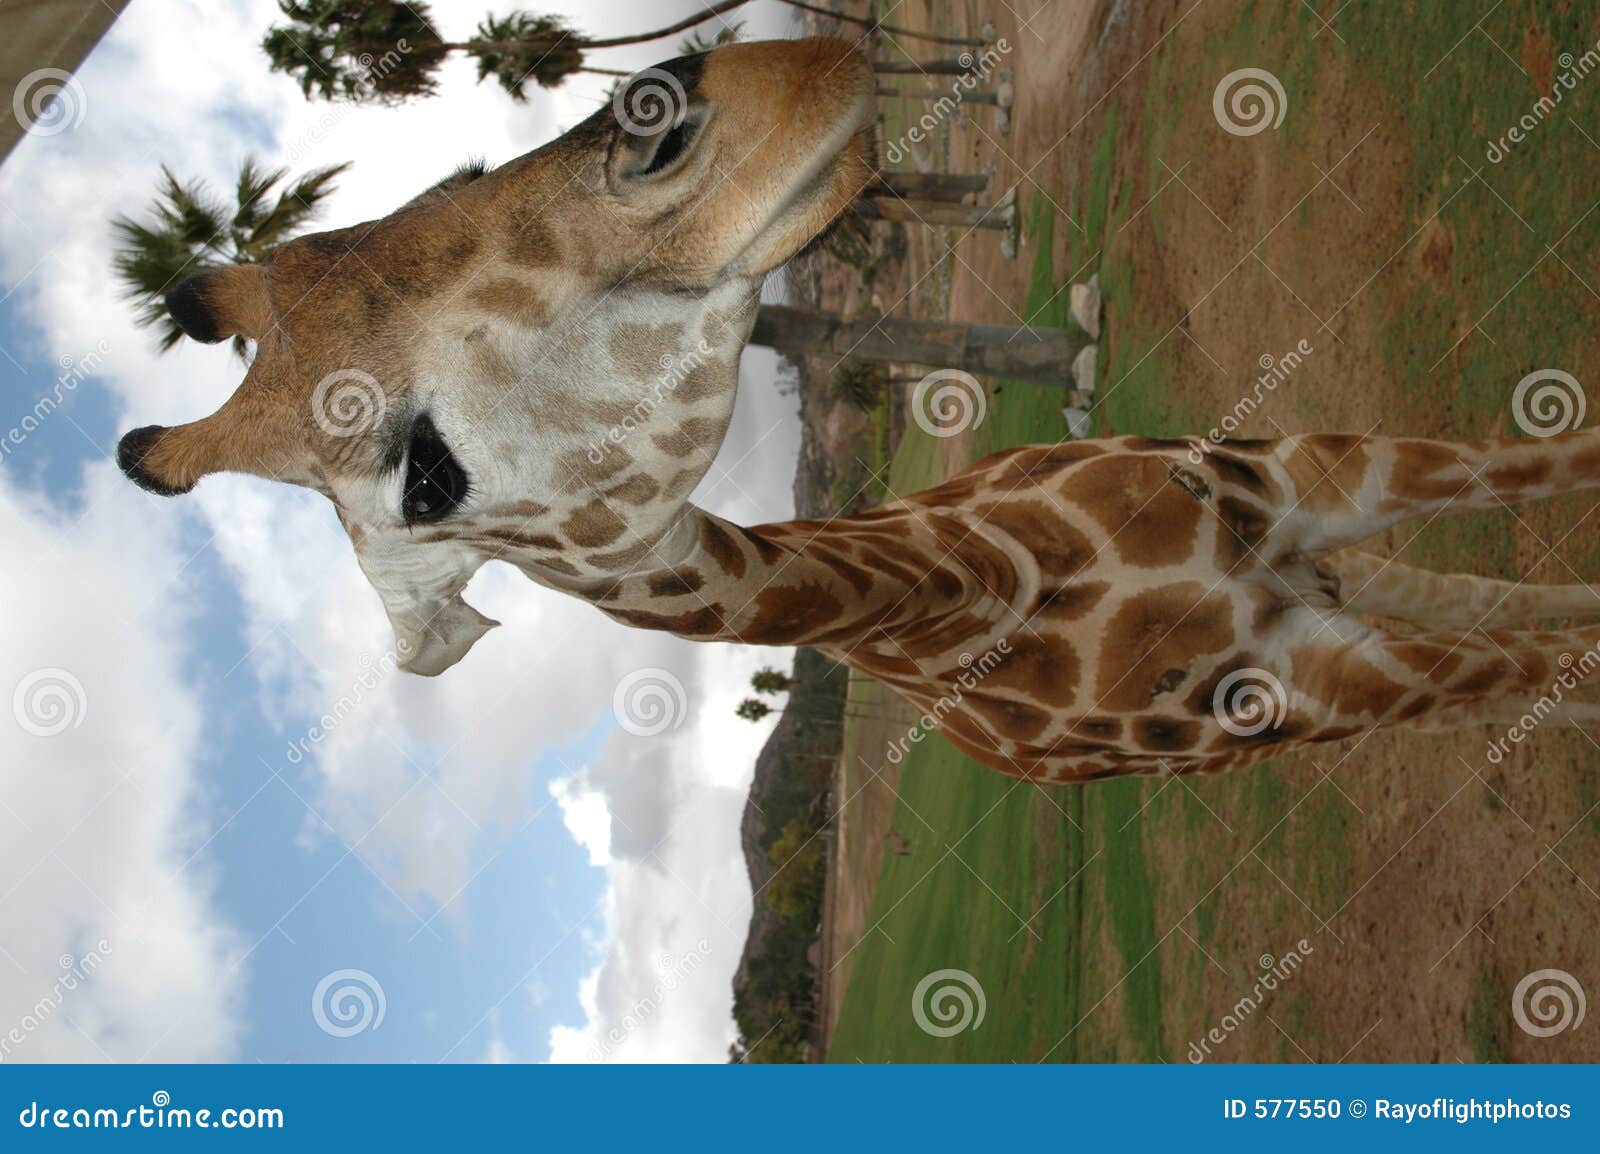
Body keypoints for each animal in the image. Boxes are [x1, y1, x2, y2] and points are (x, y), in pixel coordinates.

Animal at [118, 37, 1600, 785]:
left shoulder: (1309, 471)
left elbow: (1555, 462)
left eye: (446, 179)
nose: (719, 94)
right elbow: (1558, 675)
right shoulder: (1301, 688)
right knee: (1493, 619)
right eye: (422, 477)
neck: (987, 585)